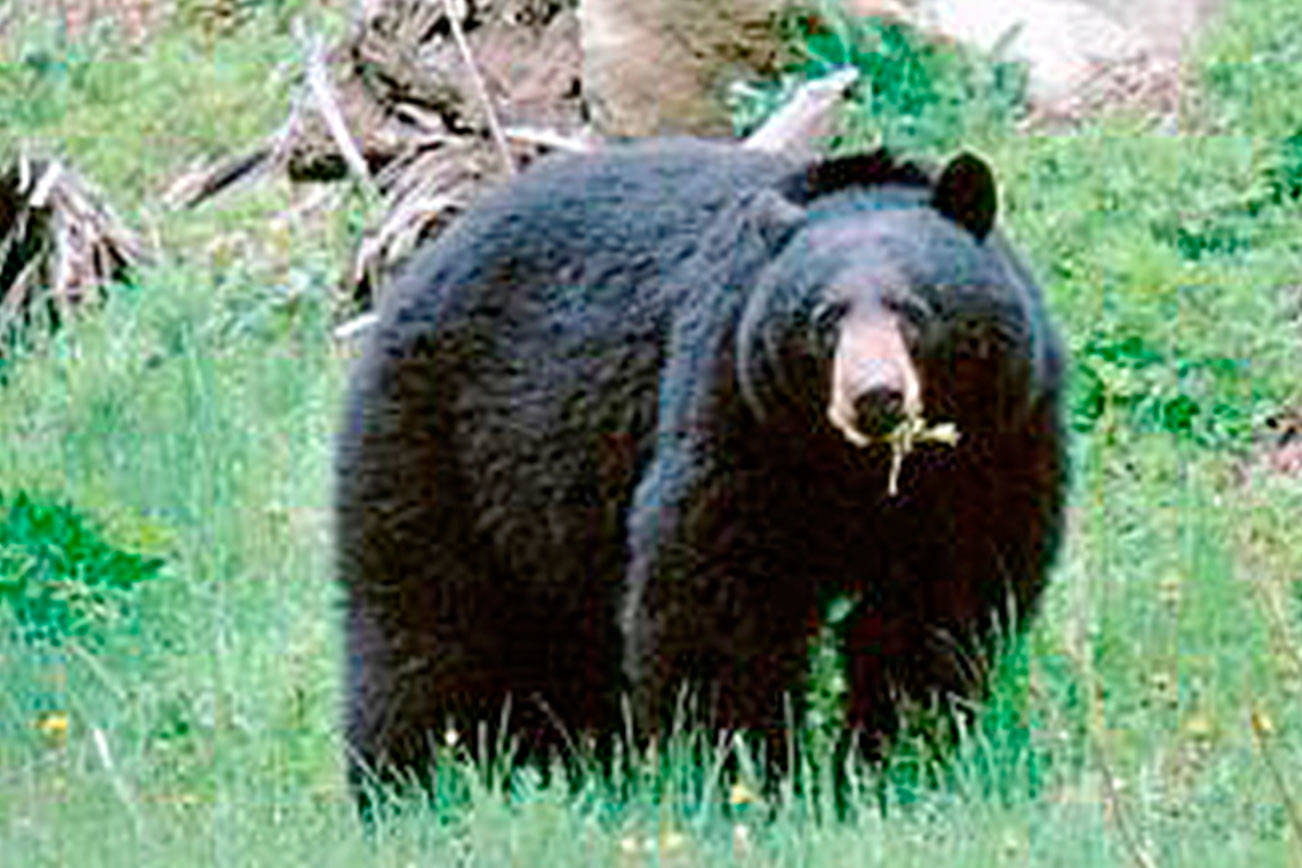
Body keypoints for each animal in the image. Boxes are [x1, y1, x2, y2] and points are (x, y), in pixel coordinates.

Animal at [334, 138, 1067, 810]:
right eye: (825, 320)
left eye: (914, 310)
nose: (876, 397)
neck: (860, 471)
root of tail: (415, 269)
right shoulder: (738, 409)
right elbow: (716, 592)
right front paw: (741, 770)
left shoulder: (1000, 440)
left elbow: (941, 602)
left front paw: (897, 757)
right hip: (437, 440)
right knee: (423, 625)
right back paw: (410, 786)